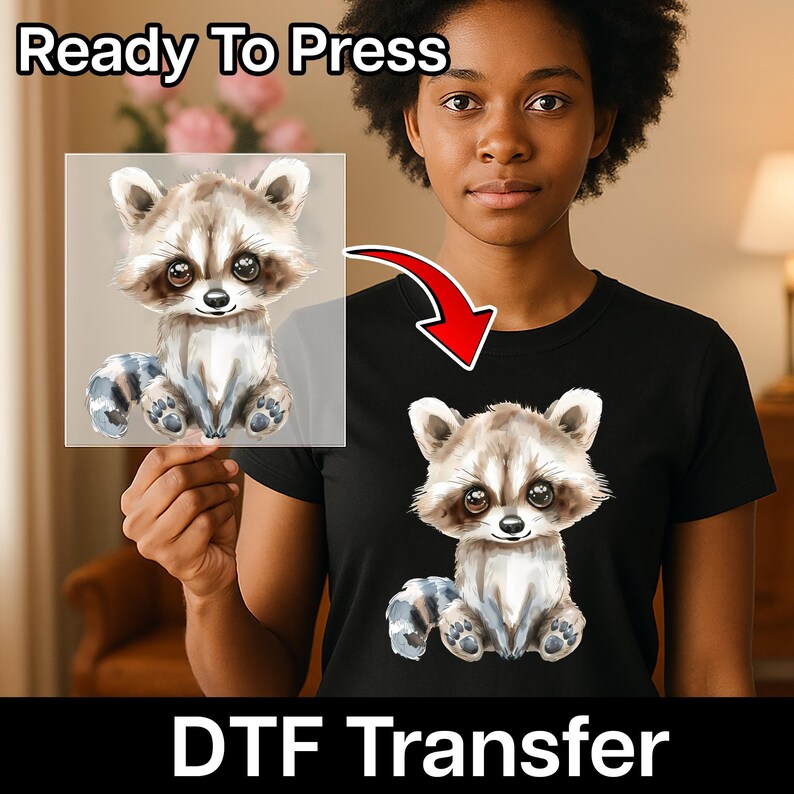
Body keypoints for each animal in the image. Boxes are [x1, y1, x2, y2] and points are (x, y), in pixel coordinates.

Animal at [86, 158, 314, 441]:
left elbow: (245, 376)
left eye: (246, 266)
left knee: (275, 390)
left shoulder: (255, 335)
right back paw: (167, 412)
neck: (215, 323)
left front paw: (228, 413)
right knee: (158, 389)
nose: (216, 299)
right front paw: (202, 413)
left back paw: (264, 411)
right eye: (179, 271)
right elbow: (187, 379)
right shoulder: (176, 336)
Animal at [386, 389, 611, 663]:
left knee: (568, 612)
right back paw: (466, 635)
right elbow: (483, 602)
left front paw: (524, 635)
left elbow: (539, 599)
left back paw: (557, 634)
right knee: (456, 612)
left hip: (565, 603)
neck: (510, 548)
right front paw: (498, 636)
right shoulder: (473, 564)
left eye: (540, 493)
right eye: (475, 498)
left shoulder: (549, 563)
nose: (512, 525)